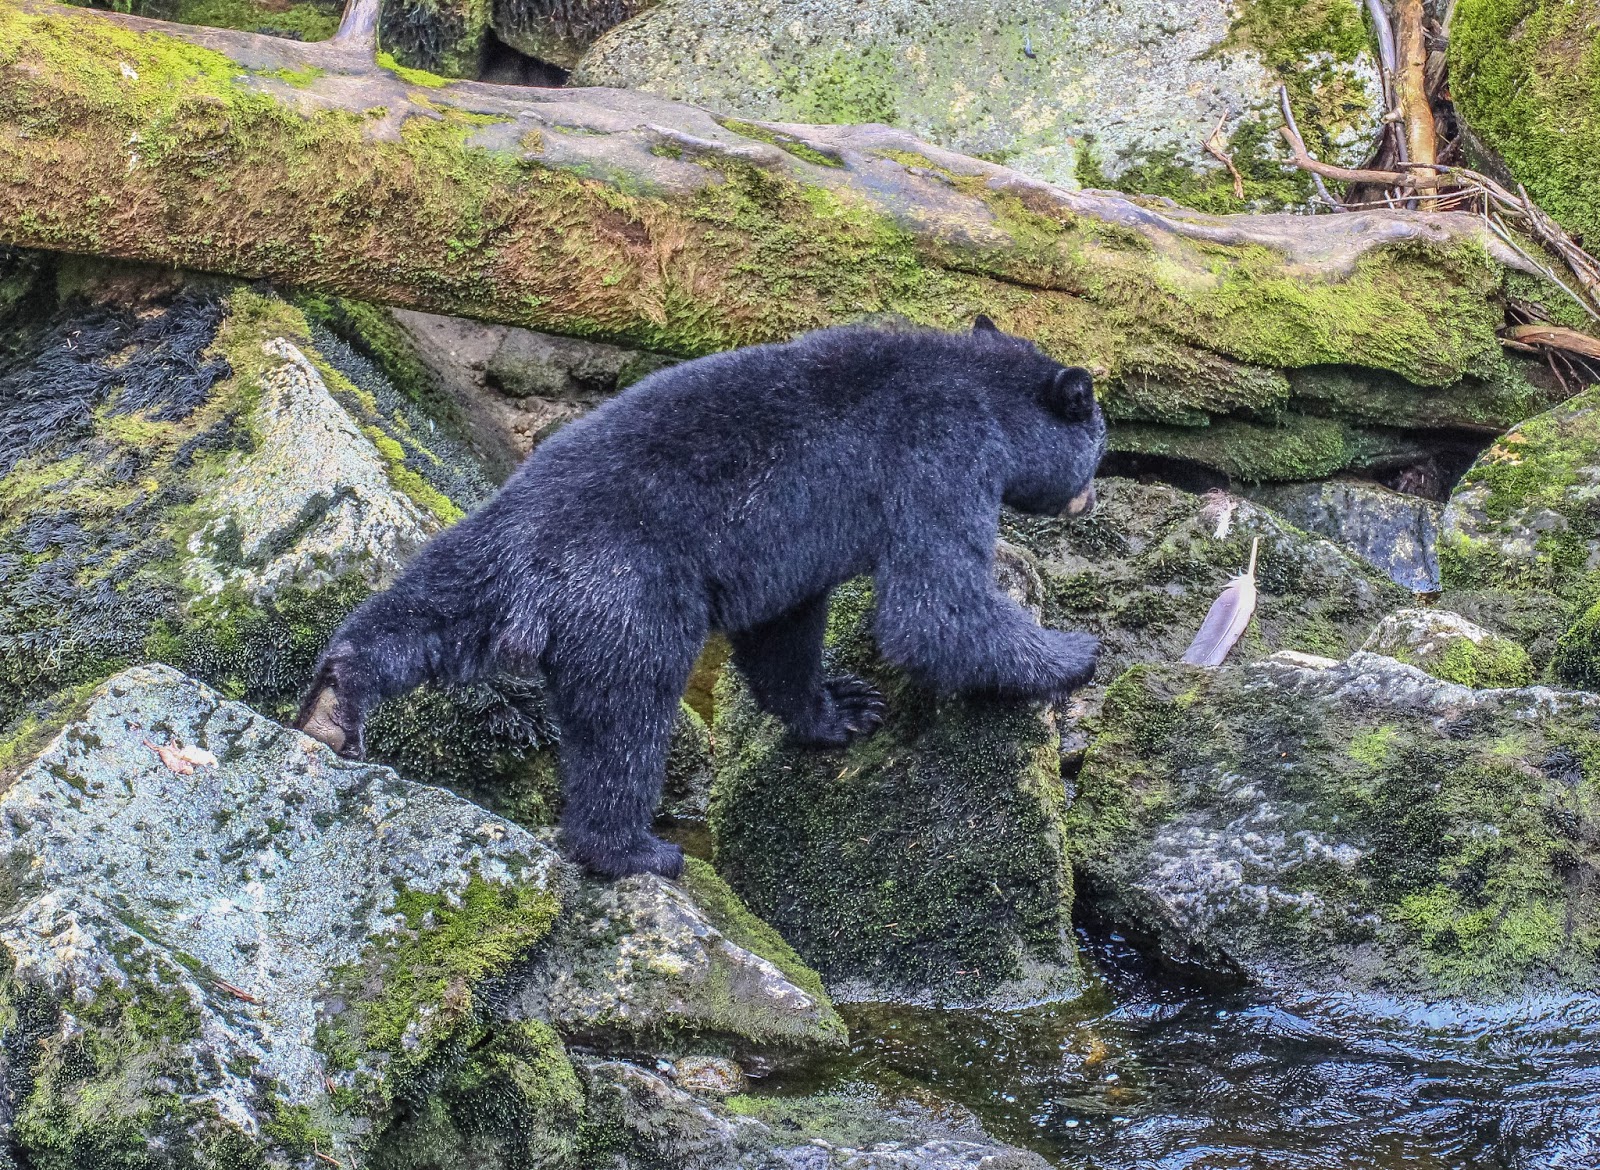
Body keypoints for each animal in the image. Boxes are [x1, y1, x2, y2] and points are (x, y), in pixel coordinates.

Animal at [296, 317, 1106, 879]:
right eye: (1101, 446)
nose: (1091, 498)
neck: (973, 381)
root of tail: (530, 559)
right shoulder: (942, 449)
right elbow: (934, 603)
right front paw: (1072, 655)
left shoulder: (789, 550)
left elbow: (784, 627)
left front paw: (840, 707)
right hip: (630, 603)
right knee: (625, 726)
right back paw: (634, 850)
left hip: (471, 554)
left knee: (417, 611)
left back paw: (333, 704)